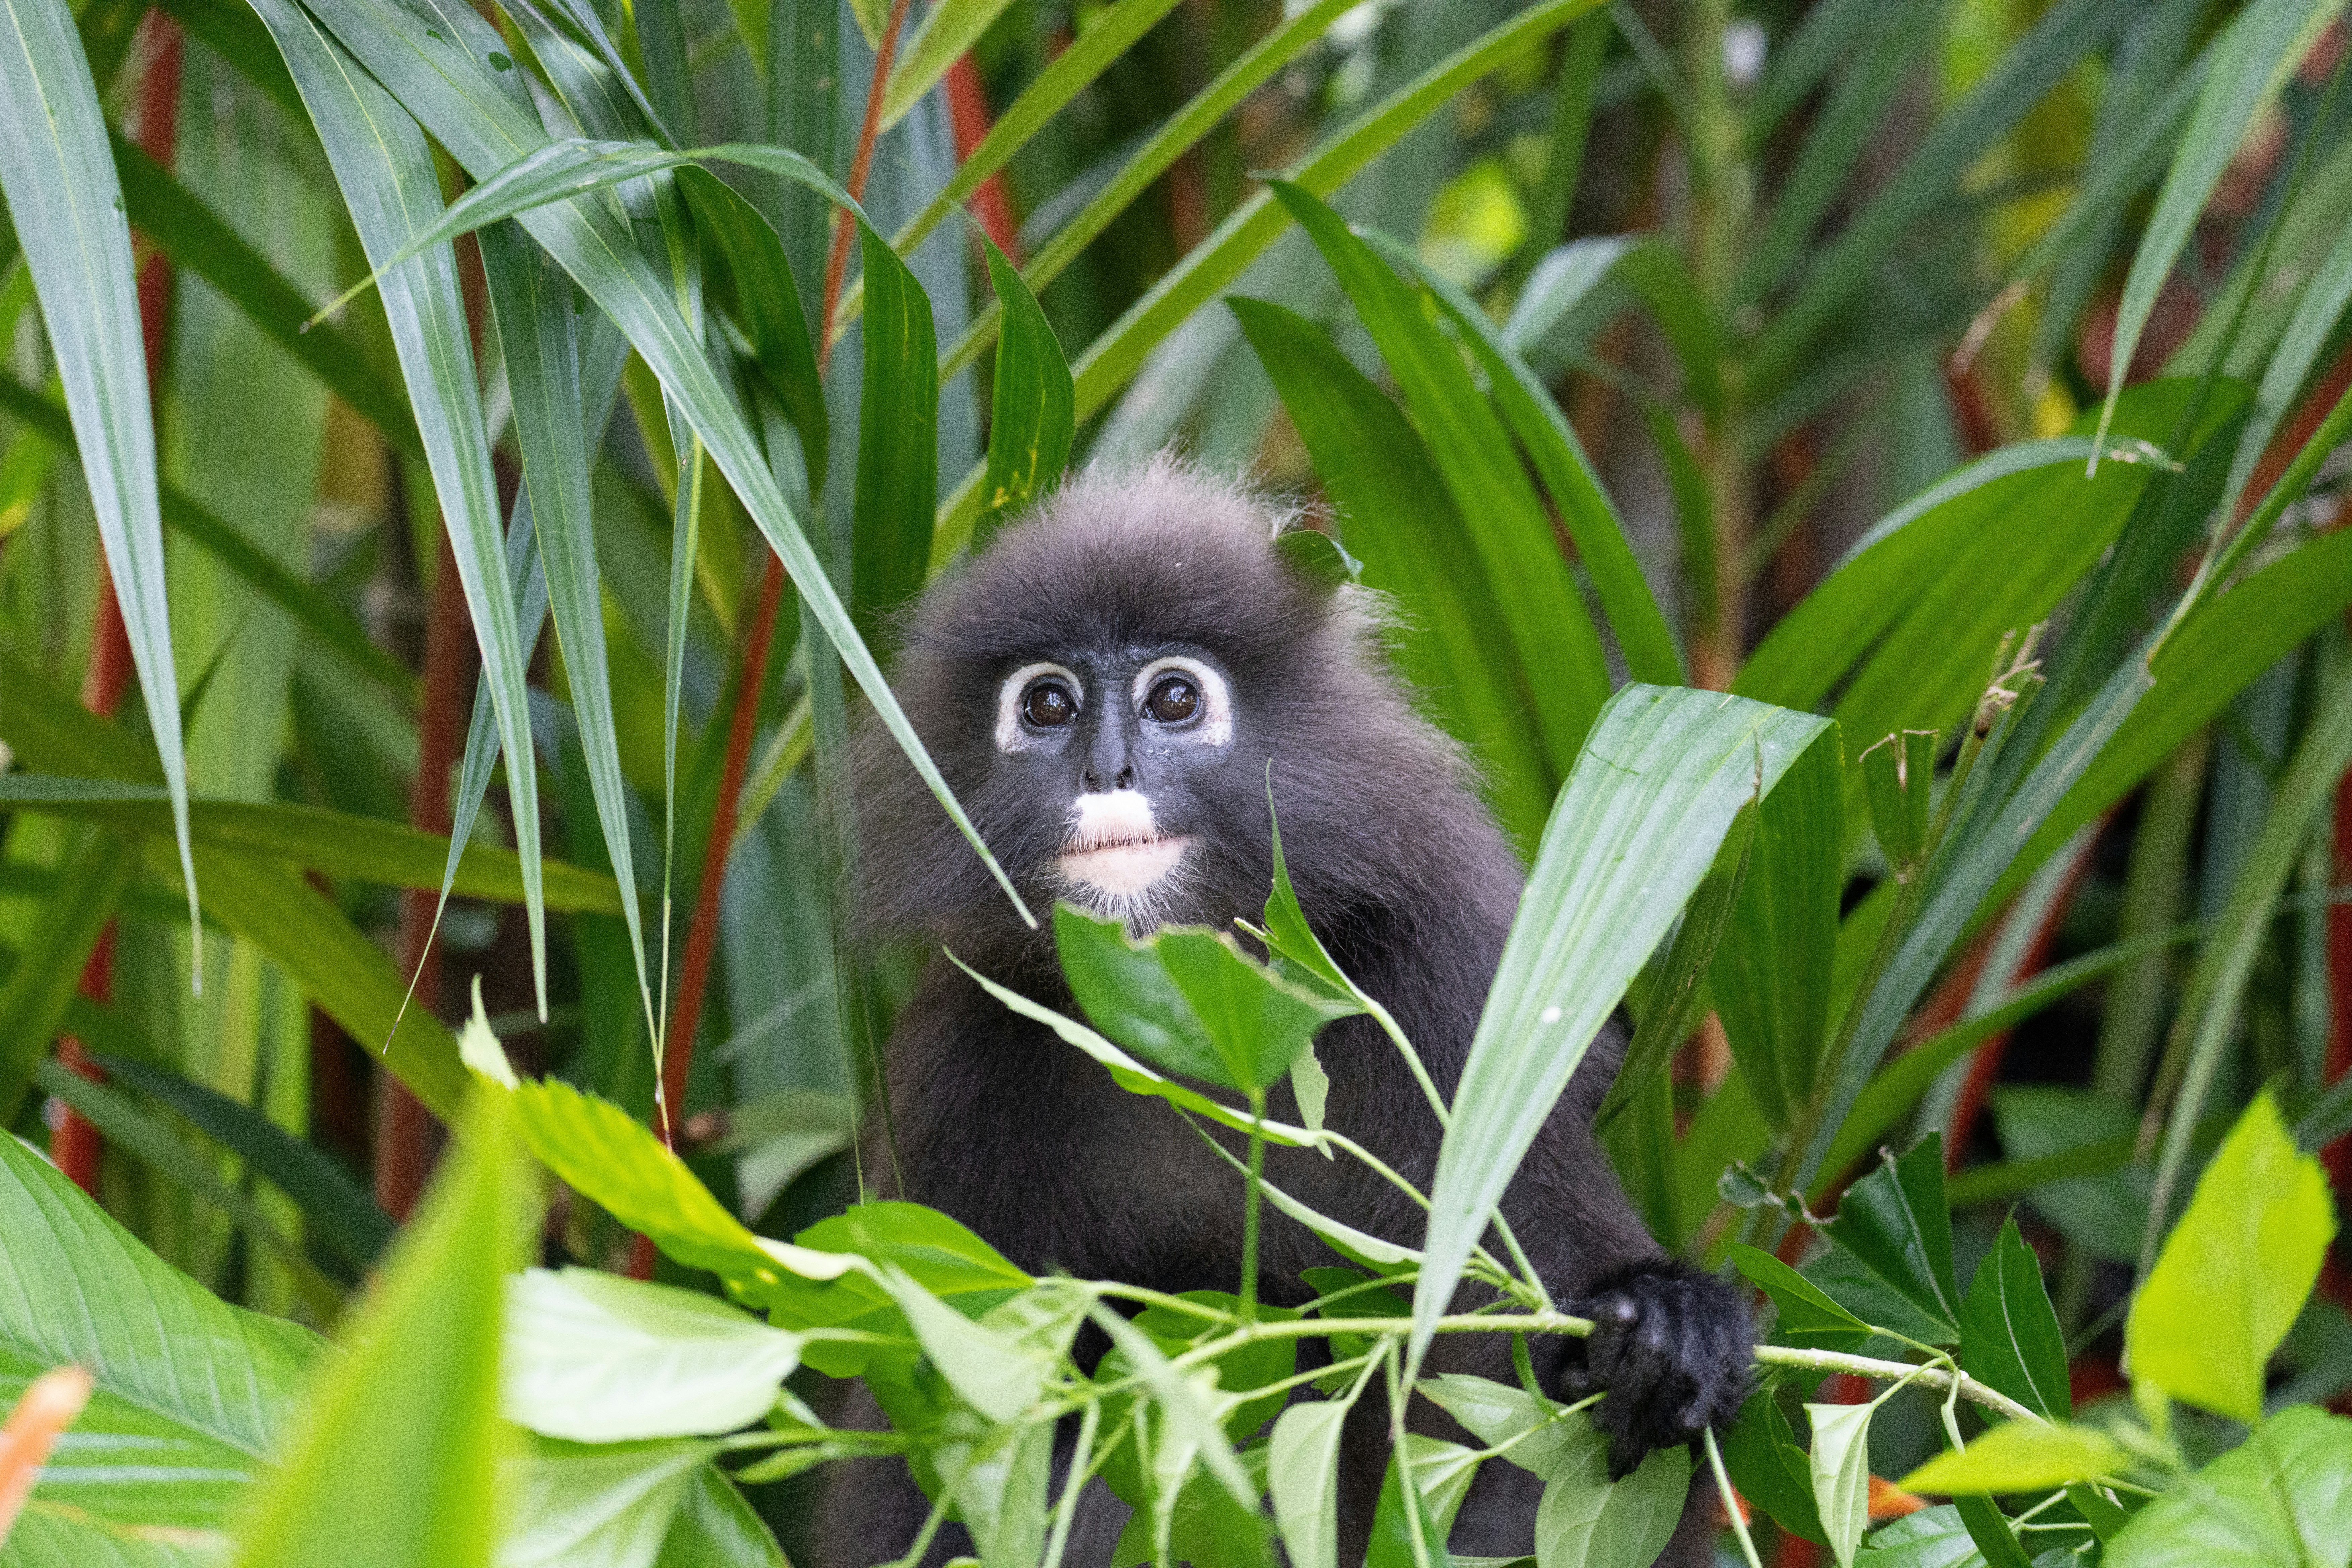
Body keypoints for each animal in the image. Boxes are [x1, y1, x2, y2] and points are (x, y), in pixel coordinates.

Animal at [817, 456, 1751, 1566]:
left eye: (1174, 697)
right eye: (1045, 704)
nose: (1106, 770)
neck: (1198, 1007)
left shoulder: (1449, 987)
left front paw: (1663, 1326)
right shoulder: (960, 1067)